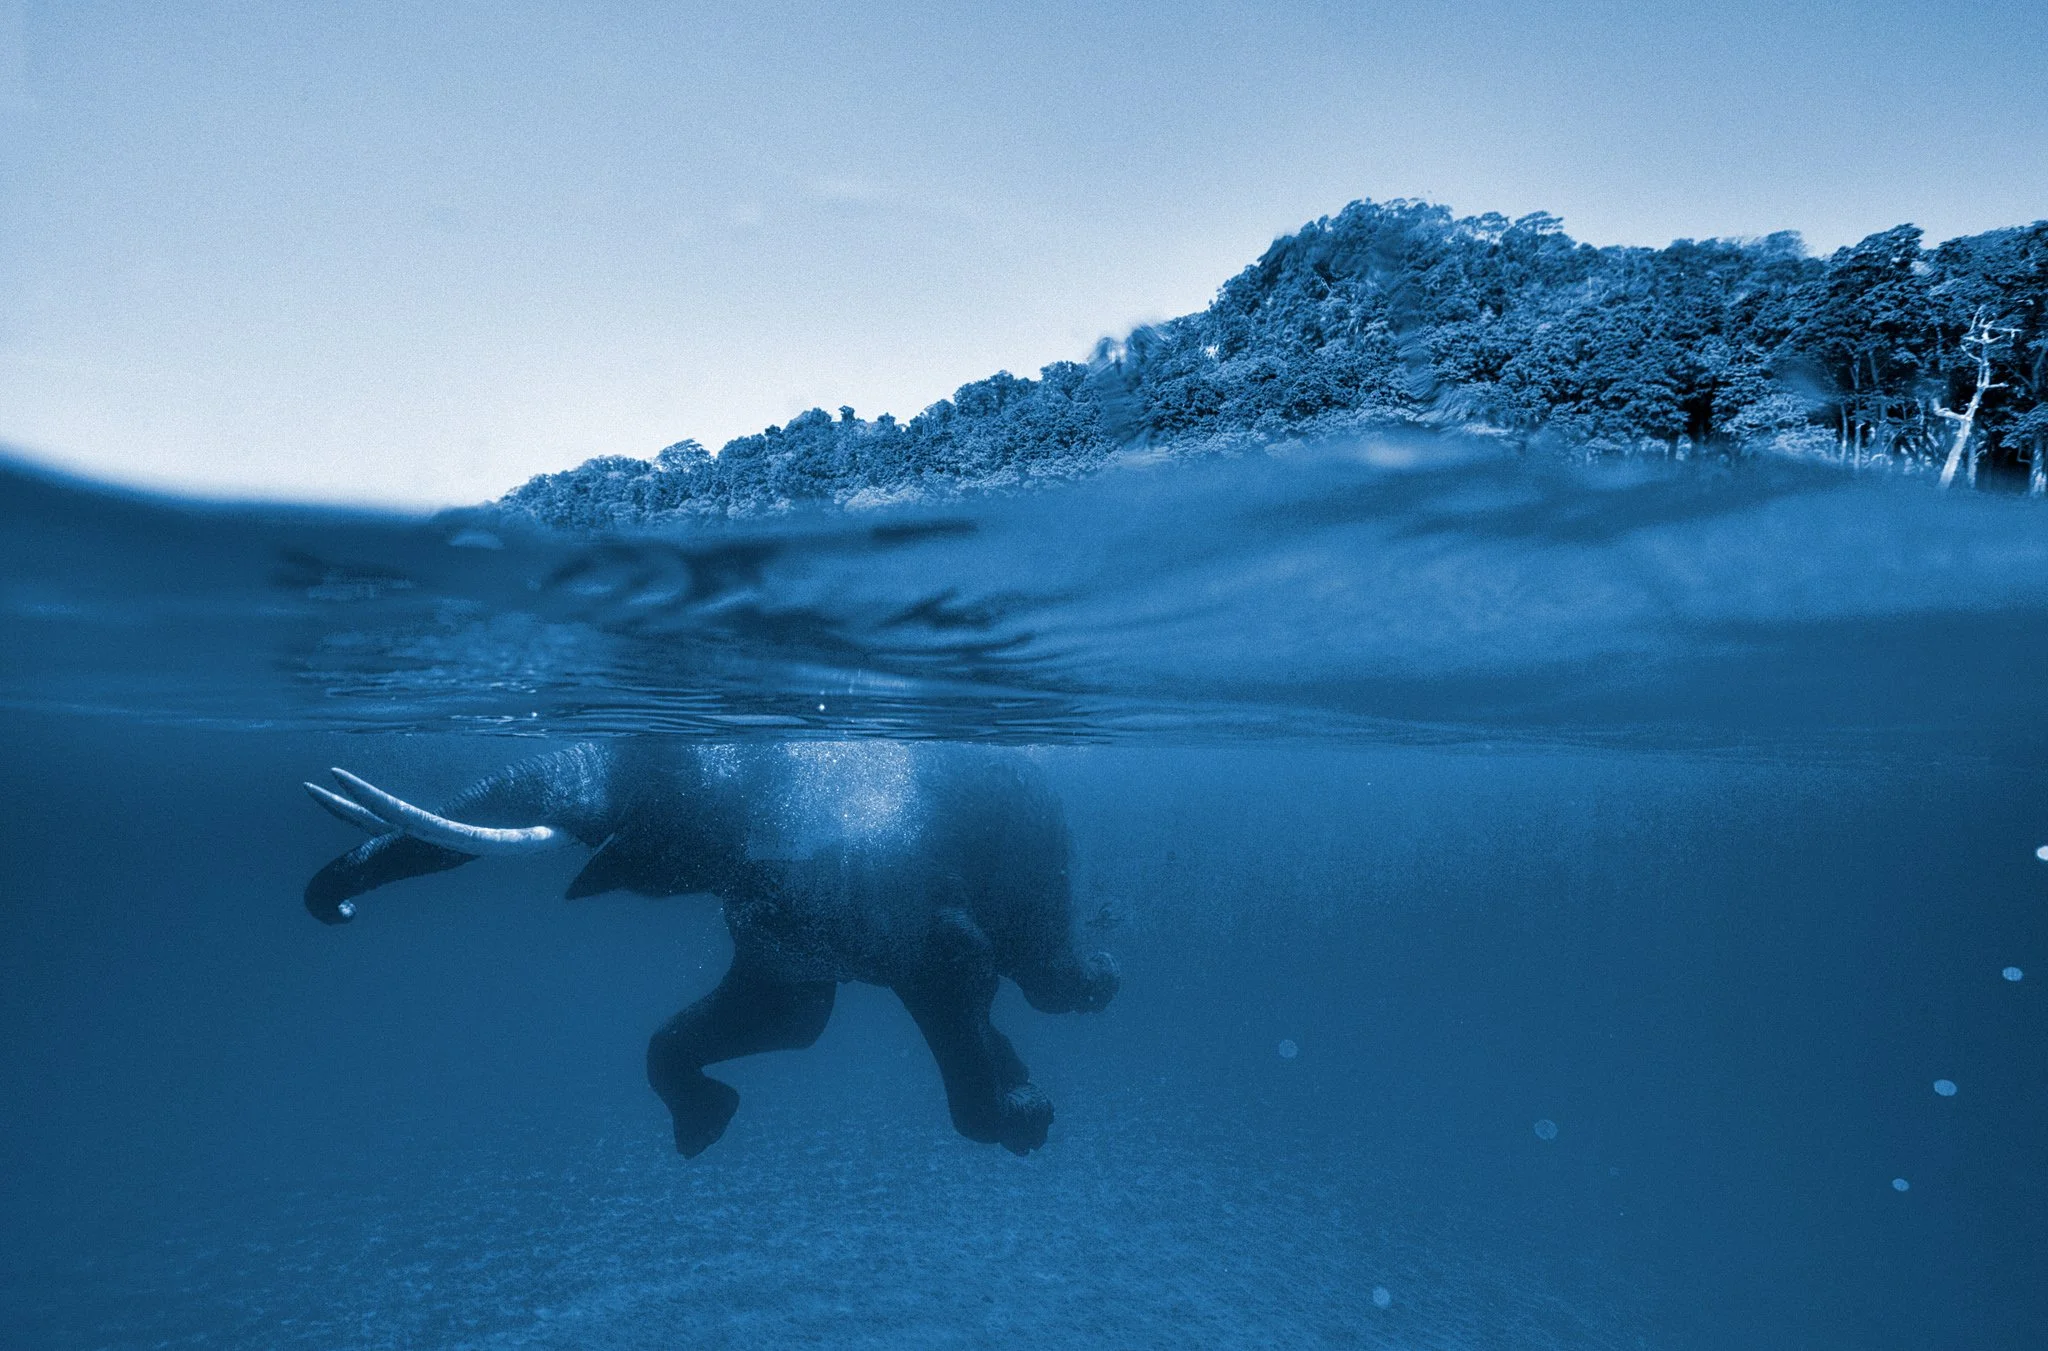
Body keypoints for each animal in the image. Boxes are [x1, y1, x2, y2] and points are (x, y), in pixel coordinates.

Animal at [302, 740, 1119, 1157]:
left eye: (658, 784)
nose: (338, 910)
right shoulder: (774, 919)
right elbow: (787, 1018)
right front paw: (705, 1123)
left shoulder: (883, 869)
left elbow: (956, 958)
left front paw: (1014, 1119)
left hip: (1042, 878)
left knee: (1046, 975)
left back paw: (1092, 990)